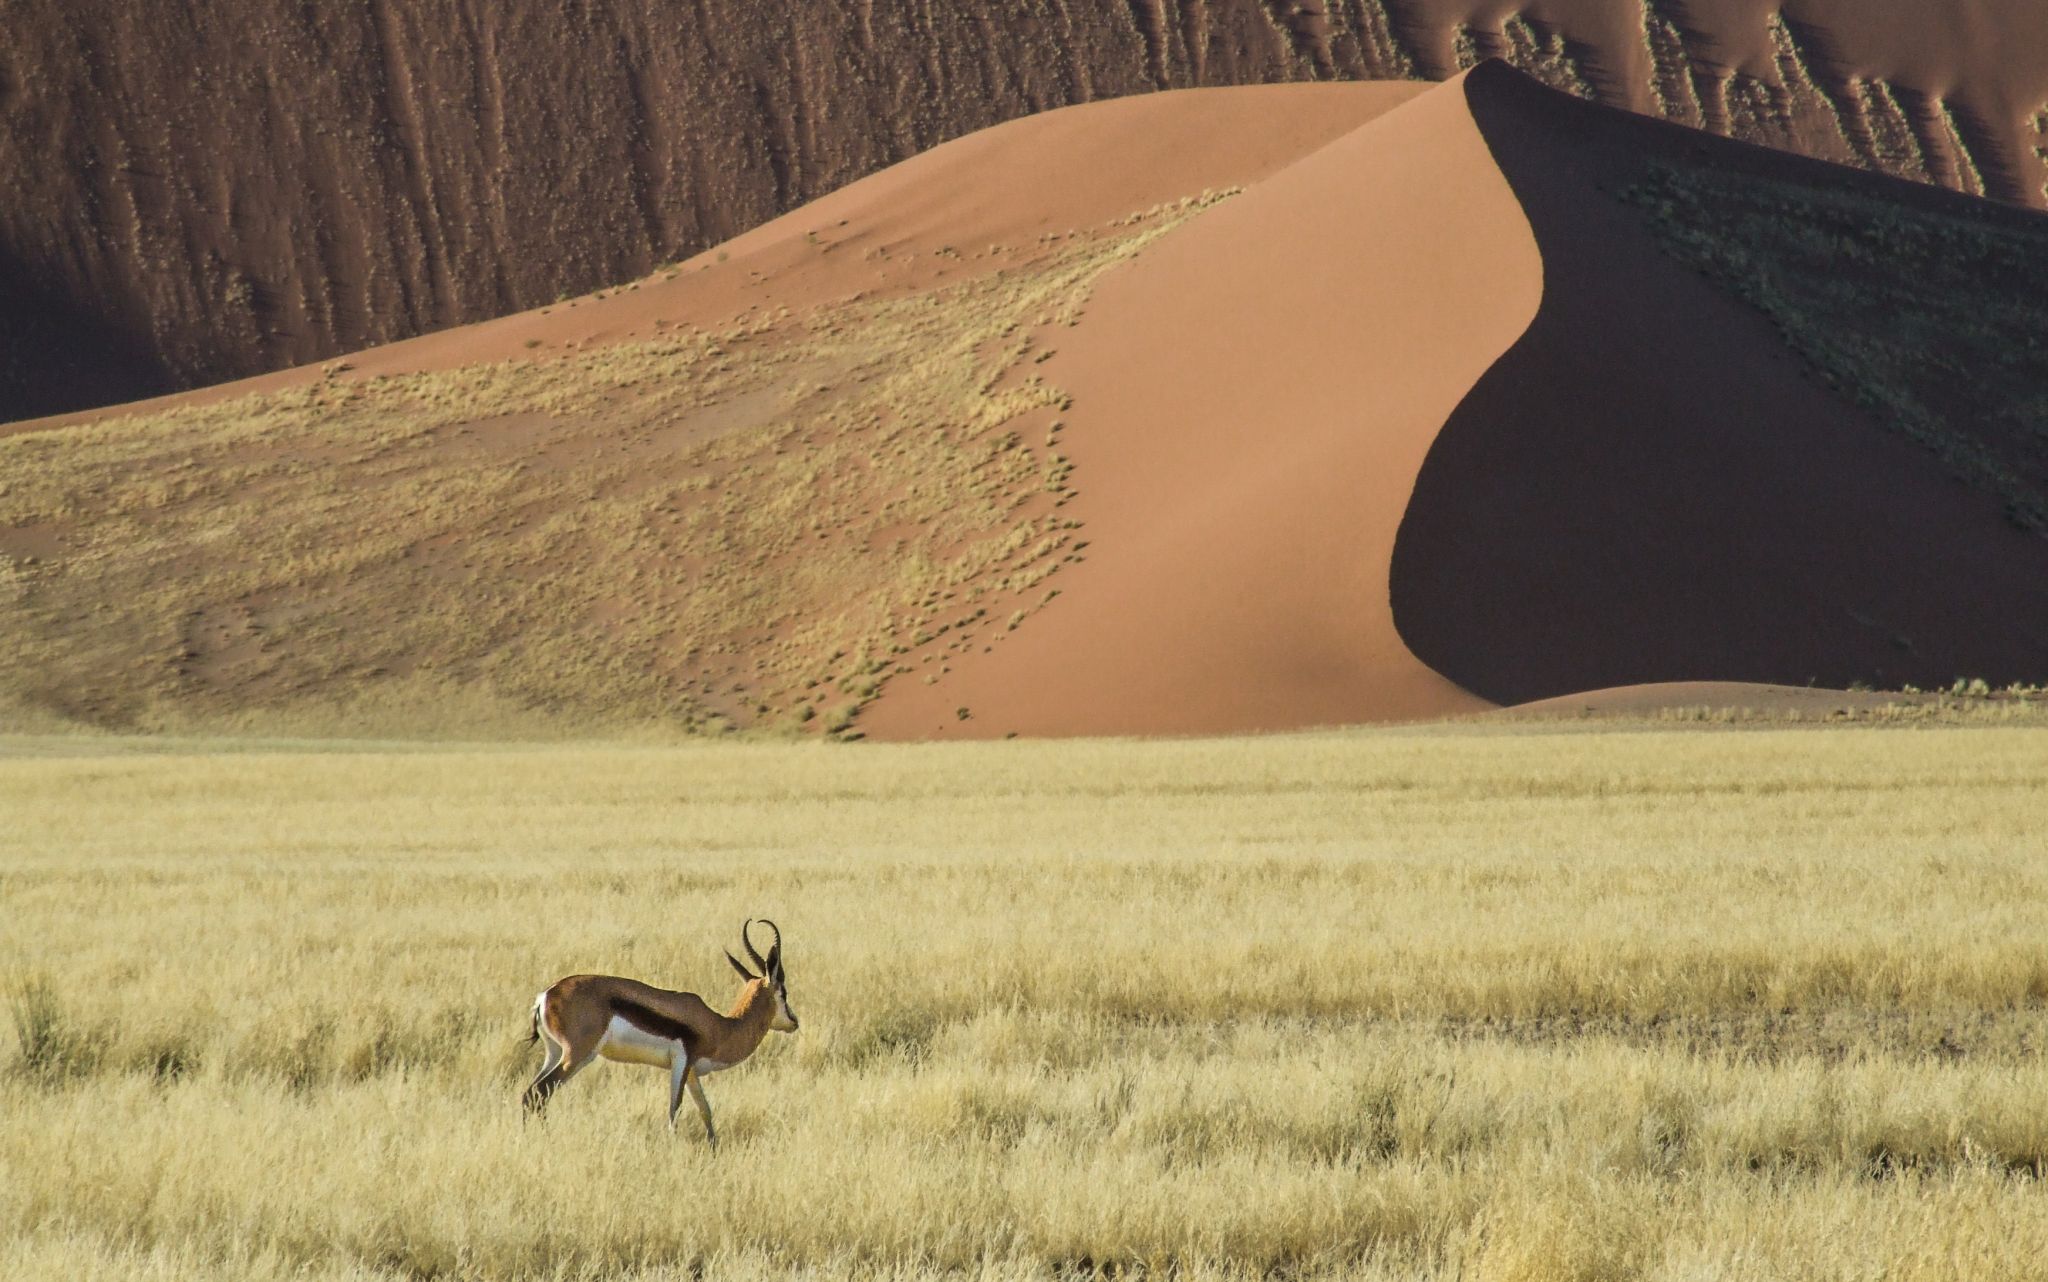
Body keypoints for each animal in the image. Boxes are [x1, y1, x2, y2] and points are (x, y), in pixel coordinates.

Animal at [524, 919, 798, 1144]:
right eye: (784, 993)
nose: (794, 1022)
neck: (720, 1026)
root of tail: (547, 995)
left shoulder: (691, 1072)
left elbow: (705, 1110)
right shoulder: (681, 1062)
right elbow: (674, 1108)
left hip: (554, 1053)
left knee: (529, 1094)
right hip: (578, 1055)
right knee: (540, 1092)